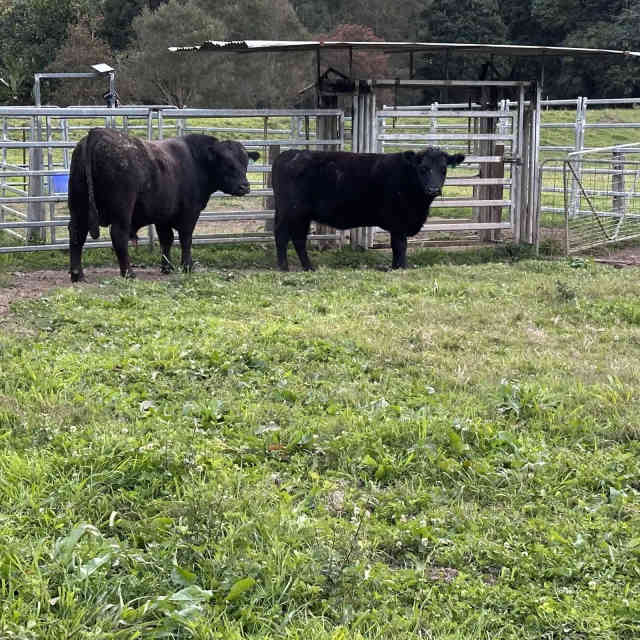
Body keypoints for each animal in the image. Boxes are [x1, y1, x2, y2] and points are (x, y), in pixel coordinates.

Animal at [67, 127, 259, 282]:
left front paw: (167, 267)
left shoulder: (162, 215)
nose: (245, 186)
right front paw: (187, 266)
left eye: (245, 162)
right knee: (119, 235)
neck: (196, 161)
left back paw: (78, 274)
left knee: (77, 233)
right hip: (122, 209)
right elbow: (186, 238)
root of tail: (98, 133)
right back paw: (128, 273)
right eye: (227, 163)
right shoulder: (190, 212)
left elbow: (166, 239)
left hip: (78, 205)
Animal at [271, 147, 465, 271]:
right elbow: (400, 246)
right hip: (292, 211)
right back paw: (285, 267)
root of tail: (289, 154)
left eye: (443, 169)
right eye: (423, 169)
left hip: (298, 215)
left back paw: (307, 267)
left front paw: (395, 266)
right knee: (285, 236)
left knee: (296, 239)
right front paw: (401, 268)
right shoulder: (399, 222)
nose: (433, 189)